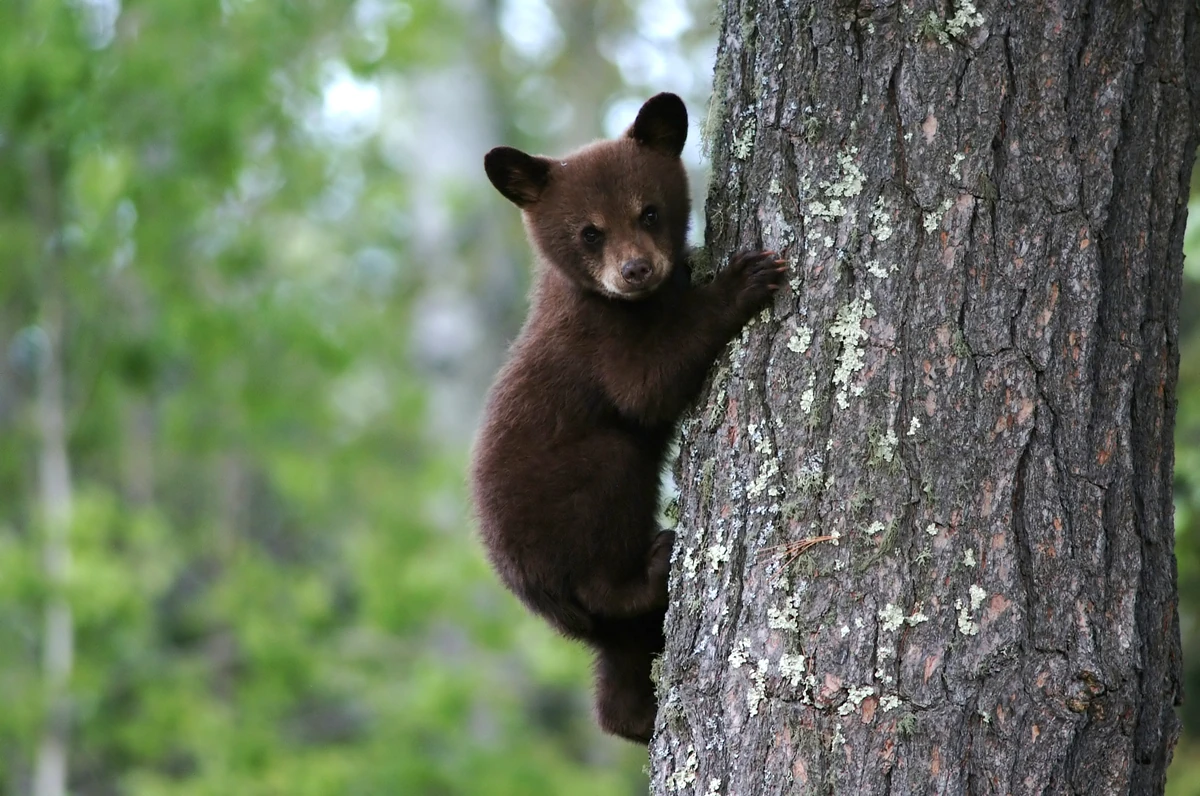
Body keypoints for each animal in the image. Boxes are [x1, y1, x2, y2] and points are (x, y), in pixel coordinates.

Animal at [470, 92, 787, 744]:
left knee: (618, 664)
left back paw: (636, 717)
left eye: (649, 212)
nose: (636, 270)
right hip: (572, 501)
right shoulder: (597, 340)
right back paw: (654, 563)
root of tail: (532, 593)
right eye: (589, 232)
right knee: (606, 536)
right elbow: (647, 386)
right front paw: (743, 279)